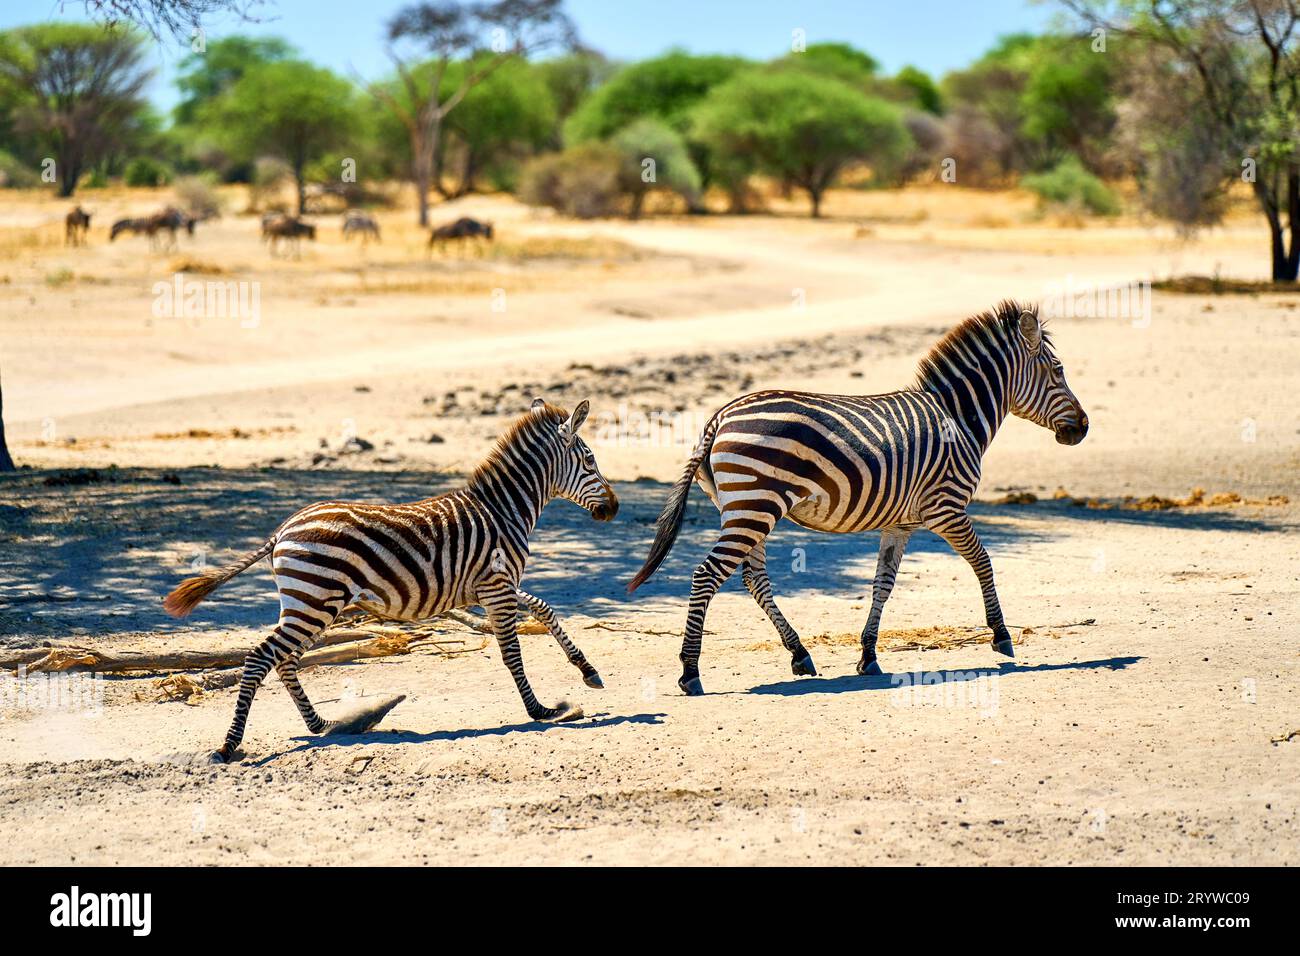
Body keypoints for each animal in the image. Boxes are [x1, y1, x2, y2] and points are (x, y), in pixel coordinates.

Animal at [163, 399, 618, 762]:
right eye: (590, 460)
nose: (613, 508)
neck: (502, 511)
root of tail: (283, 529)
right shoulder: (496, 585)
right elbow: (512, 652)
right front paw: (541, 710)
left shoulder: (490, 586)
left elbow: (545, 609)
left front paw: (587, 670)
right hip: (314, 602)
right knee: (261, 658)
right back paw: (230, 745)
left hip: (309, 604)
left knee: (285, 660)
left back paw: (322, 723)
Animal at [627, 301, 1088, 695]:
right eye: (1058, 371)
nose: (1083, 428)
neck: (956, 418)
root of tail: (720, 416)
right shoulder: (947, 507)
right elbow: (984, 563)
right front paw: (1001, 635)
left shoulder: (900, 522)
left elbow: (882, 584)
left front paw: (868, 656)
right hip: (754, 506)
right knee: (707, 574)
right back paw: (690, 672)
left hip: (744, 507)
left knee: (753, 578)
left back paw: (799, 654)